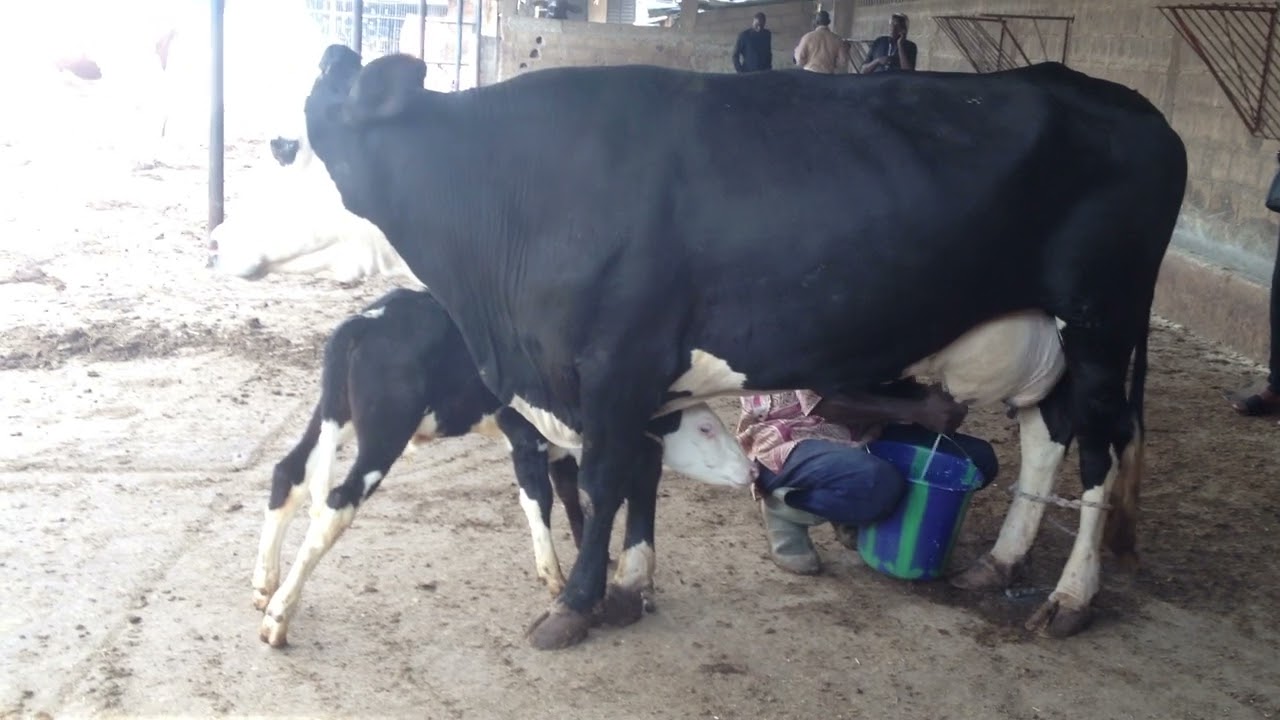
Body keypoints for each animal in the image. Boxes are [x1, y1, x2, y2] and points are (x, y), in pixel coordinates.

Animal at [252, 287, 754, 647]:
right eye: (706, 428)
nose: (751, 471)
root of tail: (365, 320)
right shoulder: (527, 438)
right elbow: (539, 498)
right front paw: (554, 577)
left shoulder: (562, 448)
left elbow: (574, 497)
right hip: (382, 432)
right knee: (336, 502)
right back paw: (279, 617)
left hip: (334, 414)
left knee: (289, 474)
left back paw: (264, 586)